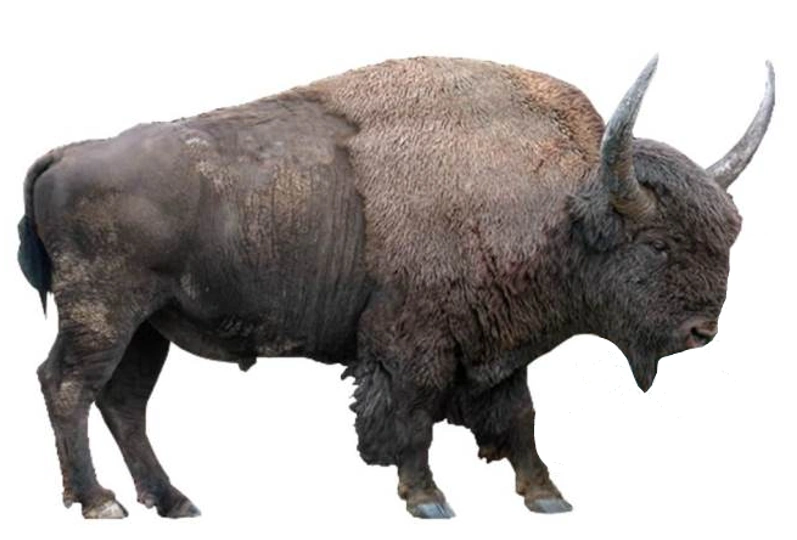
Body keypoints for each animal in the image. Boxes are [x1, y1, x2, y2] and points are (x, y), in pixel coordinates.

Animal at [18, 56, 774, 519]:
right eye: (656, 243)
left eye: (729, 237)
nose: (701, 331)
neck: (553, 206)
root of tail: (67, 153)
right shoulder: (409, 346)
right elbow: (410, 419)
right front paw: (427, 498)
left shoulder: (499, 349)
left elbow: (518, 417)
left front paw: (545, 494)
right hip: (104, 313)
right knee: (68, 386)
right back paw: (99, 502)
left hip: (151, 327)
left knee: (124, 402)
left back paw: (172, 500)